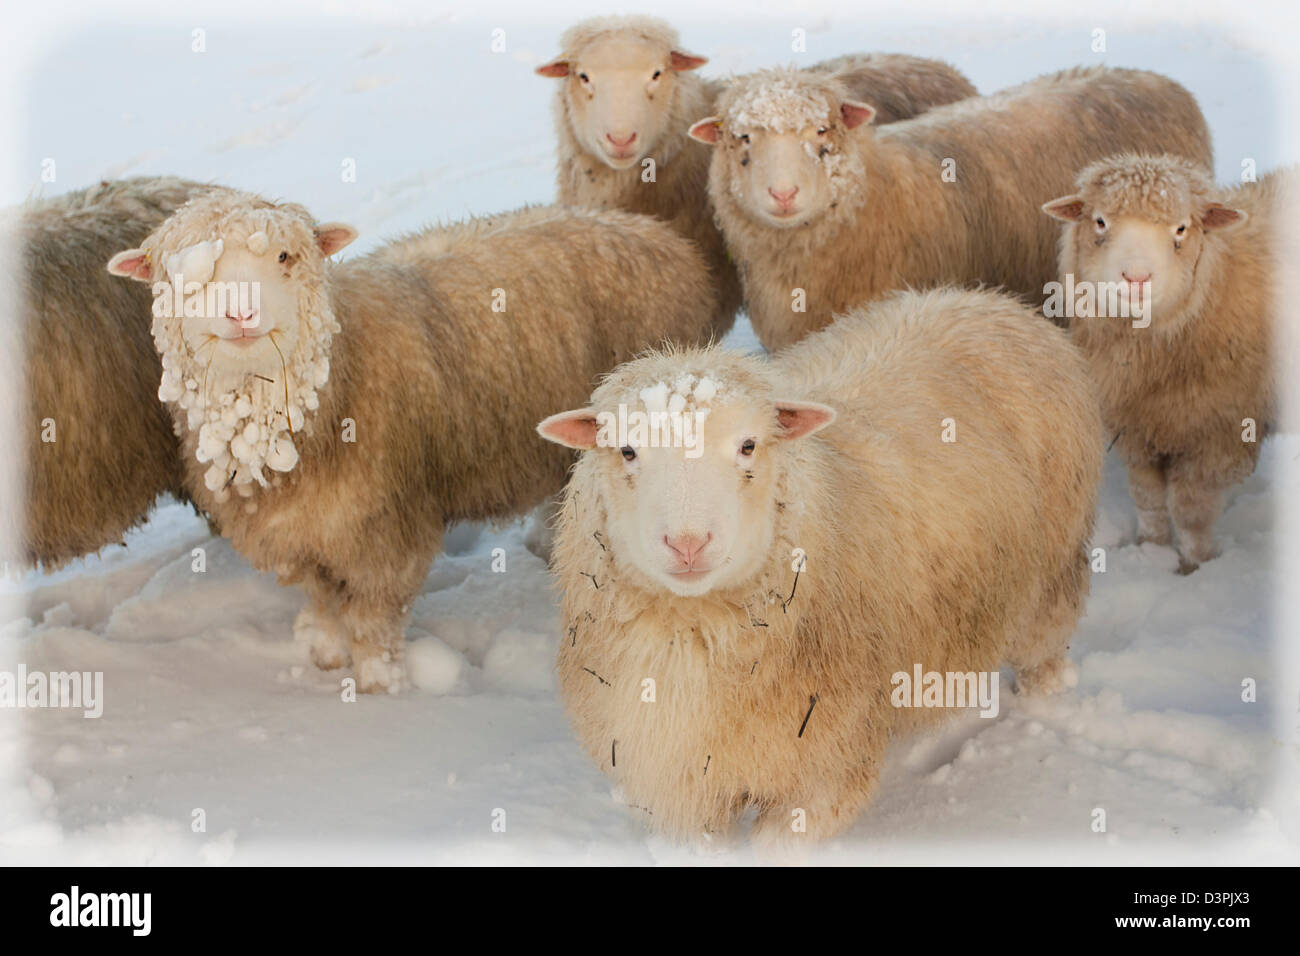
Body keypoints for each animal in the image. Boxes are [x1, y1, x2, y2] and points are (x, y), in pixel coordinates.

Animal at [107, 191, 720, 693]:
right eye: (179, 276)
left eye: (284, 257)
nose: (240, 313)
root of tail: (655, 232)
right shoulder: (300, 537)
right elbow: (321, 601)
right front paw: (324, 656)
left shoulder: (385, 533)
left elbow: (371, 621)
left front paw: (380, 686)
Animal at [537, 287, 1103, 846]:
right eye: (628, 451)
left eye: (748, 445)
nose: (688, 543)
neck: (695, 631)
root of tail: (990, 300)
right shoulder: (691, 781)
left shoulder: (822, 772)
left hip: (1053, 569)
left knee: (1044, 643)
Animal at [1042, 154, 1296, 571]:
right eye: (1100, 221)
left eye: (1181, 228)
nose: (1136, 278)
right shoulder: (1137, 427)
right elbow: (1148, 499)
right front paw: (1151, 550)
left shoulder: (1218, 434)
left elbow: (1188, 511)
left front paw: (1194, 566)